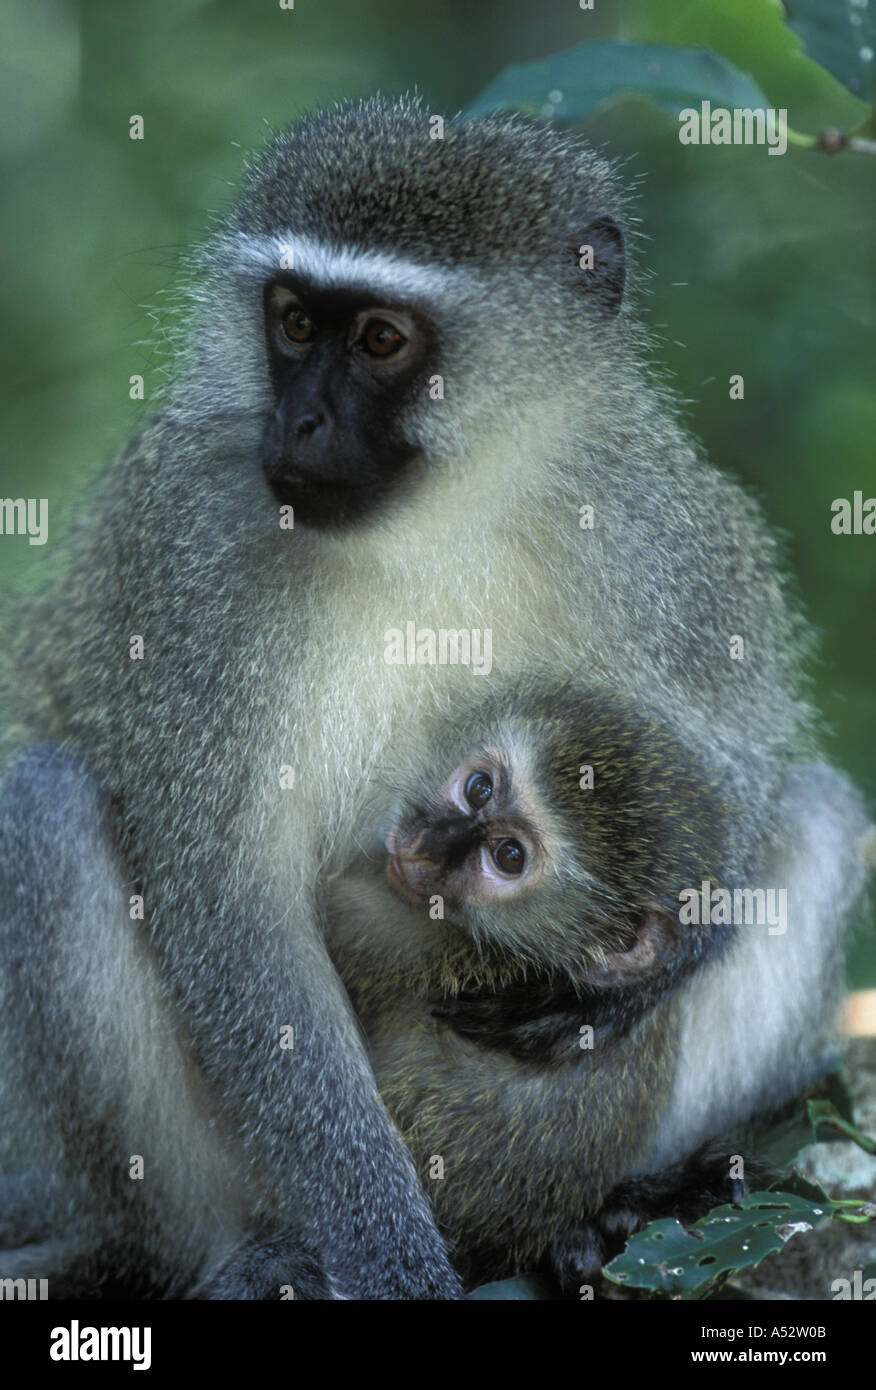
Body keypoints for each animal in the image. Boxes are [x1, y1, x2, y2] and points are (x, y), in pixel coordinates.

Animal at [0, 96, 869, 1298]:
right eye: (292, 323)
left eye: (380, 339)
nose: (299, 426)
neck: (437, 516)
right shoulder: (194, 552)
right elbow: (229, 909)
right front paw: (393, 1261)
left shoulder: (652, 514)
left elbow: (733, 757)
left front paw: (647, 972)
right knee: (46, 809)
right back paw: (223, 1249)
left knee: (819, 815)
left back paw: (610, 1209)